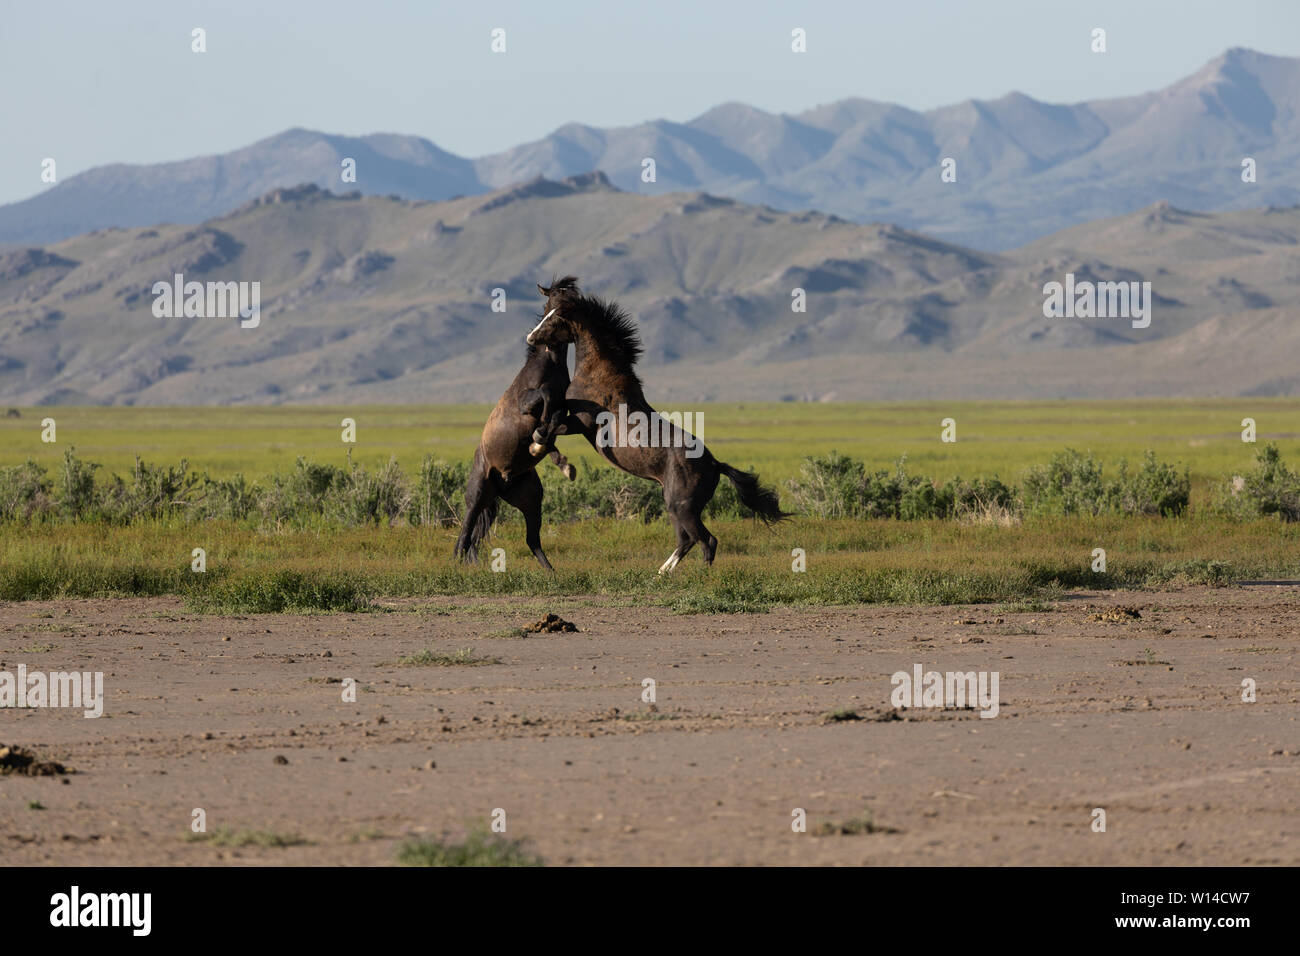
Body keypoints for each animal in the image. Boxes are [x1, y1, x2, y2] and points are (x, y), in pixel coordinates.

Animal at [454, 335, 575, 570]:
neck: (550, 365)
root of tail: (503, 479)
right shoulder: (527, 403)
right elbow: (545, 395)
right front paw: (540, 439)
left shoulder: (565, 408)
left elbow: (556, 418)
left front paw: (549, 450)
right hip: (477, 494)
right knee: (465, 534)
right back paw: (454, 564)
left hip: (530, 500)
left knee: (531, 540)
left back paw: (551, 571)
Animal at [527, 277, 788, 572]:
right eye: (546, 308)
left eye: (557, 315)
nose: (531, 338)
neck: (598, 372)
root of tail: (714, 464)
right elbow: (550, 422)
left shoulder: (582, 422)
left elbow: (550, 427)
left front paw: (550, 456)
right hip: (676, 505)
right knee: (686, 540)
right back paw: (661, 574)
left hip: (681, 506)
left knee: (706, 541)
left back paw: (698, 576)